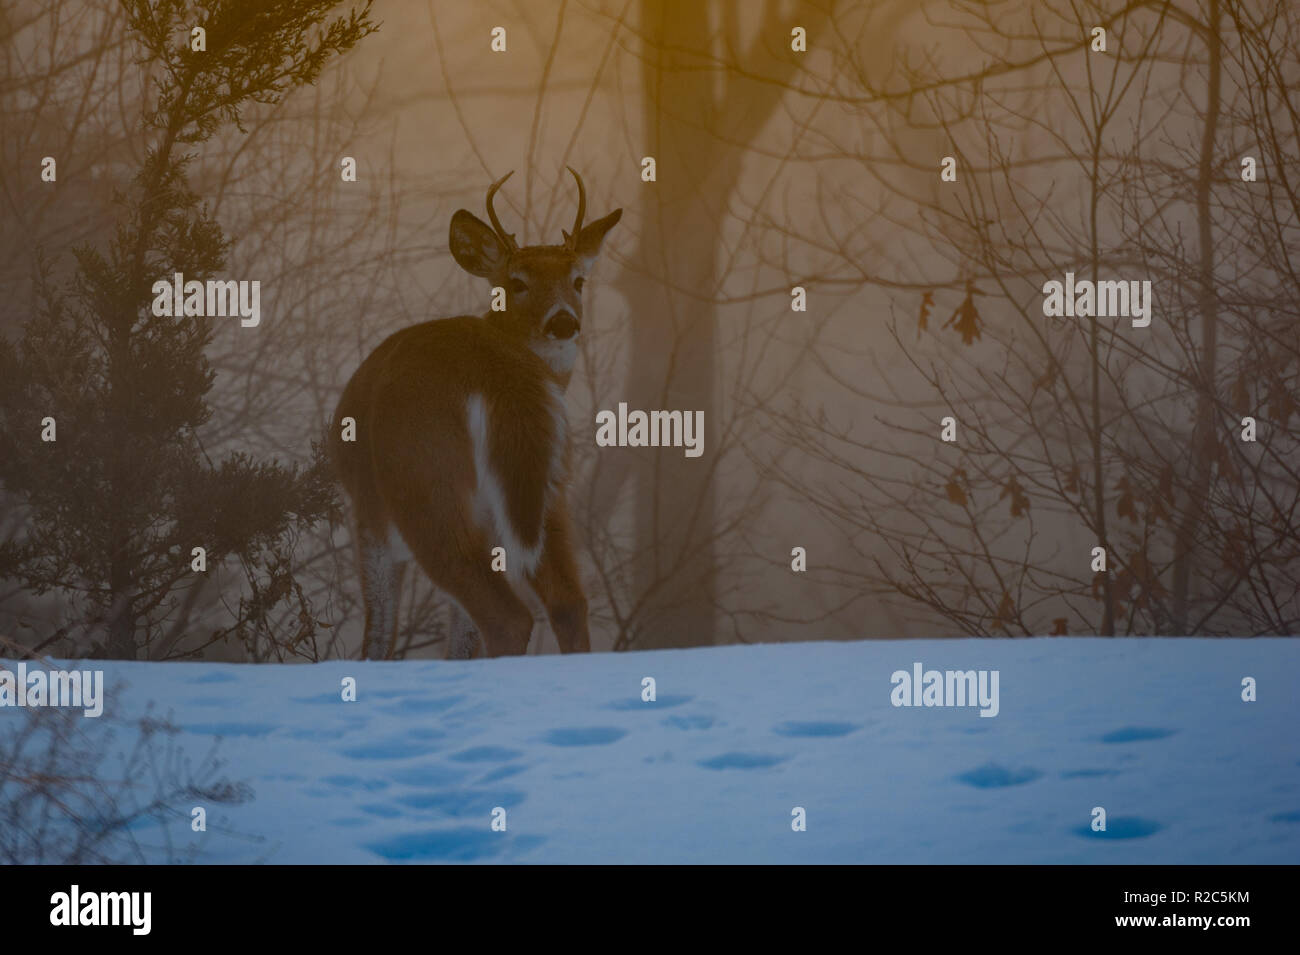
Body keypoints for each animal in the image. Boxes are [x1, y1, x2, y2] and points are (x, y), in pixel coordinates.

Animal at [331, 168, 621, 659]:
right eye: (517, 282)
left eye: (578, 280)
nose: (564, 321)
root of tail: (497, 375)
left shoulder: (368, 517)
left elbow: (380, 633)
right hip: (550, 489)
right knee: (568, 603)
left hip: (425, 480)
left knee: (506, 616)